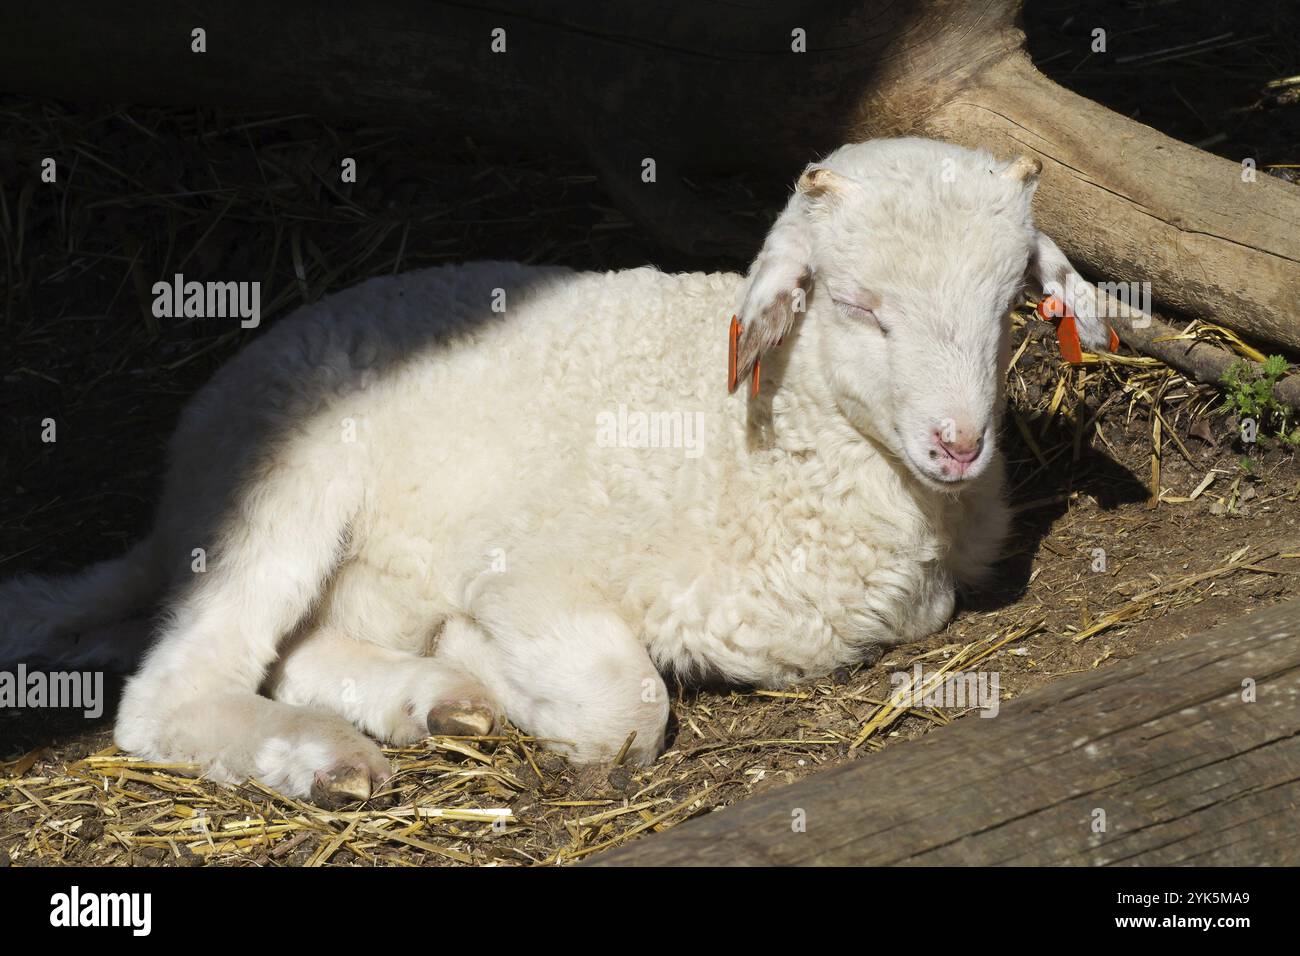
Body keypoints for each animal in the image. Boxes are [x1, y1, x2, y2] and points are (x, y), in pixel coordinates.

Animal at [0, 137, 1114, 804]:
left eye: (1009, 303)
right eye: (856, 305)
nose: (958, 444)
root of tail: (175, 496)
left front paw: (462, 671)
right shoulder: (525, 568)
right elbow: (624, 710)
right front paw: (502, 665)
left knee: (275, 646)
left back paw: (428, 698)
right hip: (287, 482)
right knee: (170, 689)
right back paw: (329, 754)